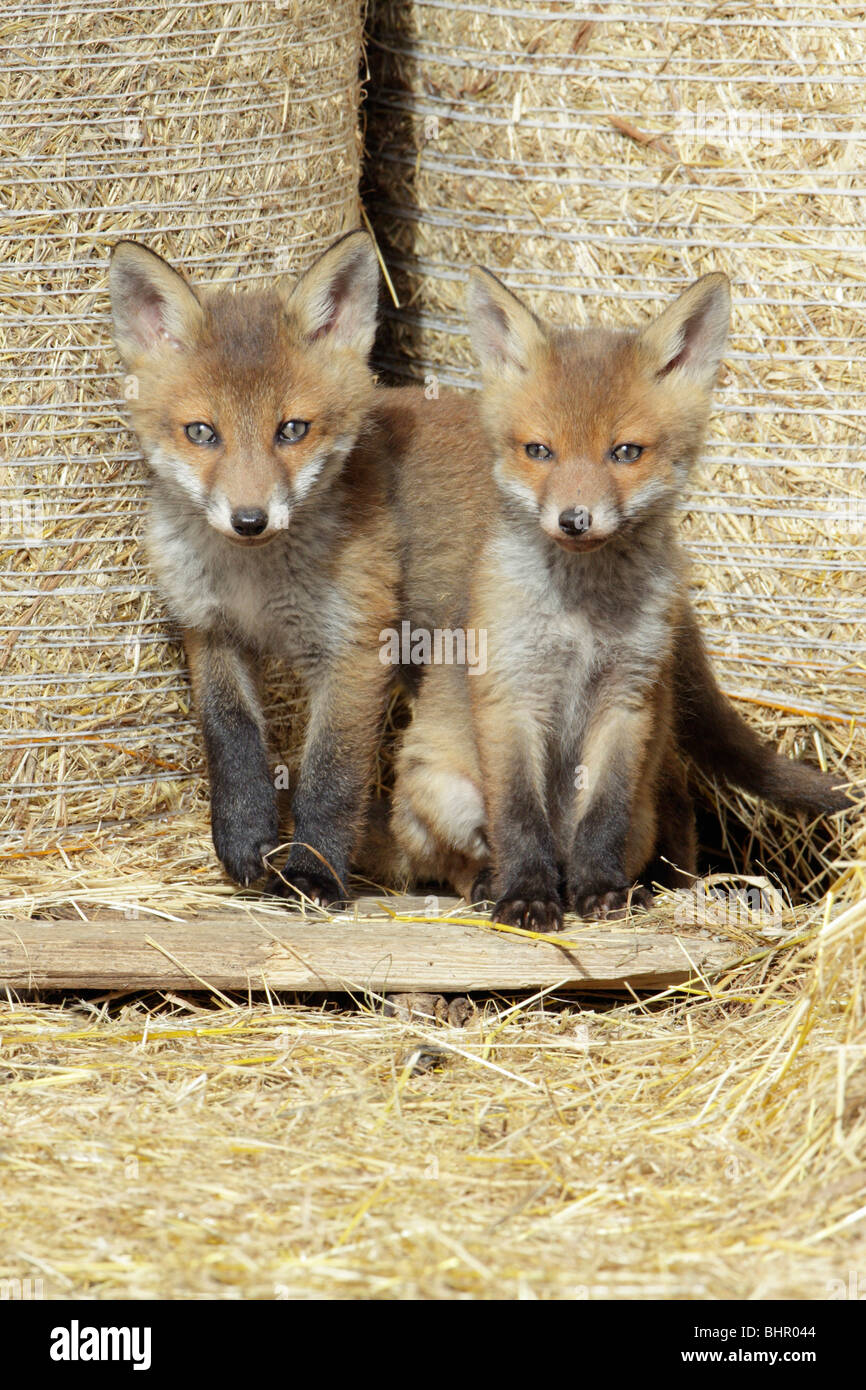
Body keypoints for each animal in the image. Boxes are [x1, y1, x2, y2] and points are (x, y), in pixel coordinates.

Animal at [109, 230, 401, 907]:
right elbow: (231, 737)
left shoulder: (355, 646)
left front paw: (314, 873)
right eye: (201, 432)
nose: (249, 519)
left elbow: (331, 776)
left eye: (291, 429)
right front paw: (244, 838)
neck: (255, 582)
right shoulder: (209, 629)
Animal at [388, 269, 854, 929]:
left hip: (645, 806)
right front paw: (527, 896)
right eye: (539, 451)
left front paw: (602, 891)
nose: (574, 519)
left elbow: (601, 816)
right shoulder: (512, 695)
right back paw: (488, 883)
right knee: (456, 858)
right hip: (442, 790)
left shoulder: (628, 698)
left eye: (626, 452)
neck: (585, 616)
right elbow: (519, 817)